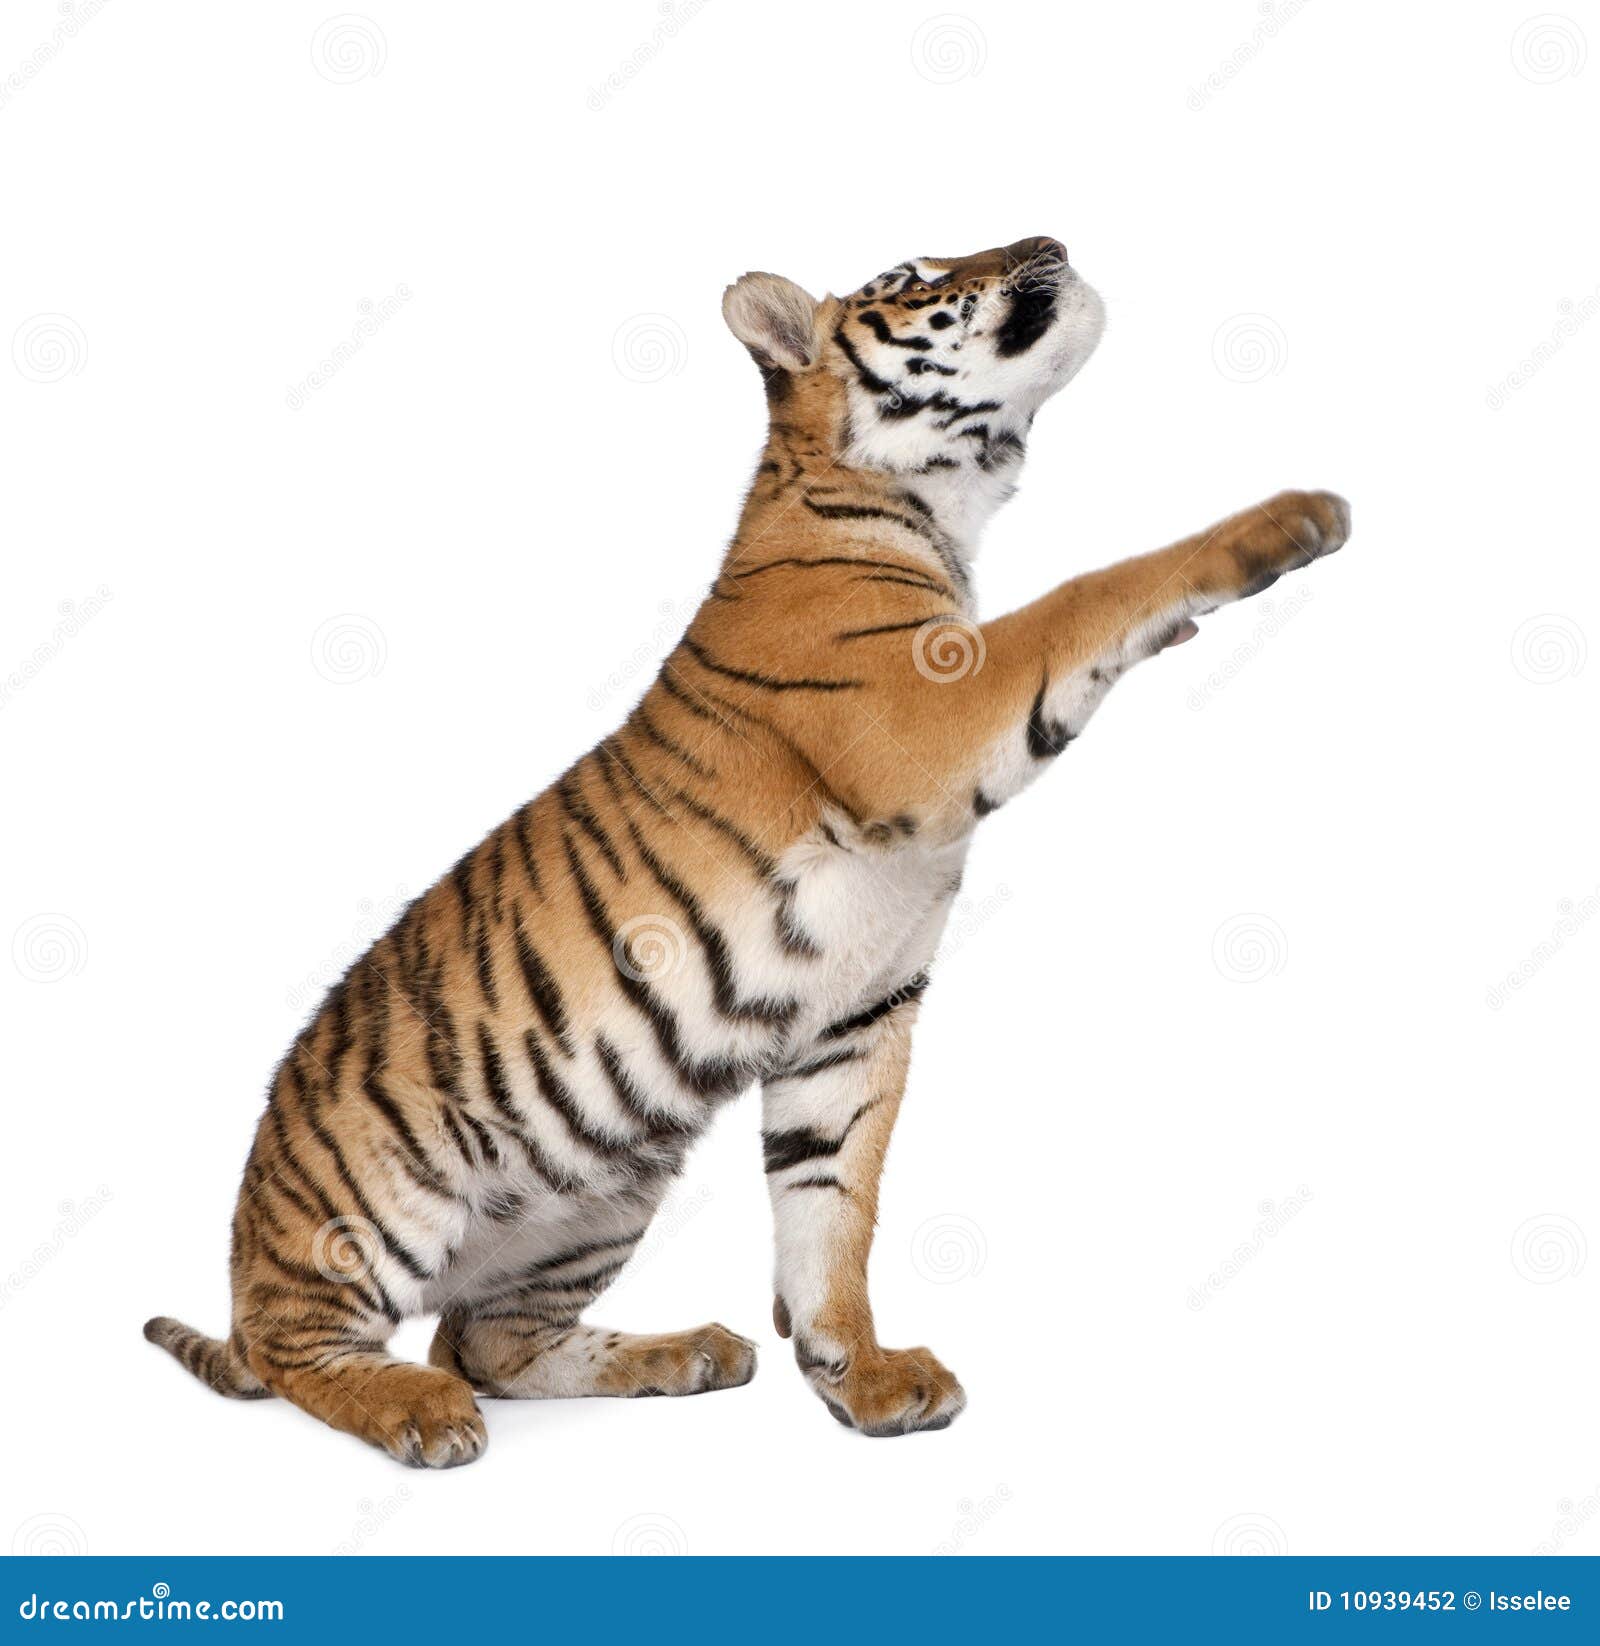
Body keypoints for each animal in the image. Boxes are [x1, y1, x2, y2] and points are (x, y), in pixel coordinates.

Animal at [145, 234, 1350, 1467]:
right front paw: (1283, 522)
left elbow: (834, 1211)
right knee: (306, 1350)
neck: (932, 503)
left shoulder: (855, 1016)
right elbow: (1088, 593)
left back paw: (685, 1353)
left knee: (485, 1340)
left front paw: (856, 1373)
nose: (1052, 245)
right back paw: (416, 1412)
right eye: (922, 273)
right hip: (382, 1197)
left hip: (598, 1199)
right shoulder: (925, 712)